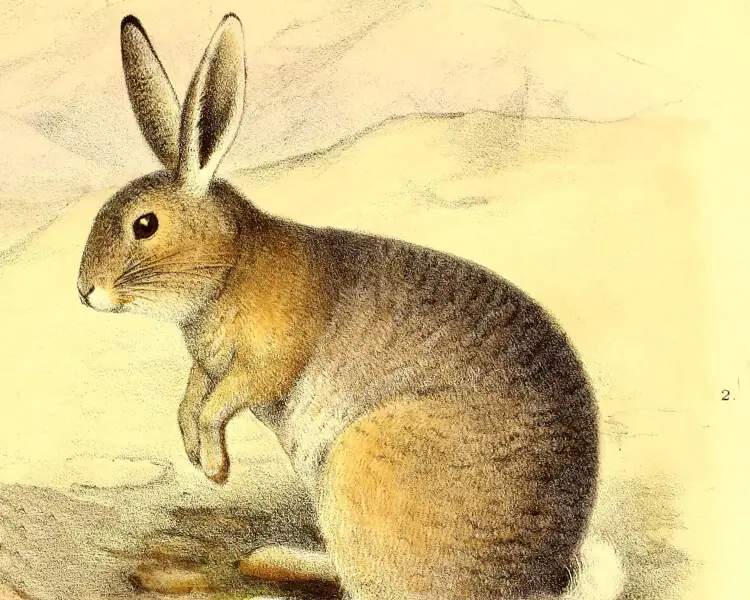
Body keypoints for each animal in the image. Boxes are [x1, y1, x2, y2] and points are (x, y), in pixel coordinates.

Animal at [76, 13, 623, 600]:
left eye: (145, 225)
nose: (84, 290)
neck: (233, 262)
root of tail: (531, 585)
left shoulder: (266, 365)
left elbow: (220, 403)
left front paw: (216, 467)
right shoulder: (208, 367)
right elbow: (191, 399)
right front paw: (198, 456)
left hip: (358, 470)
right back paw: (265, 558)